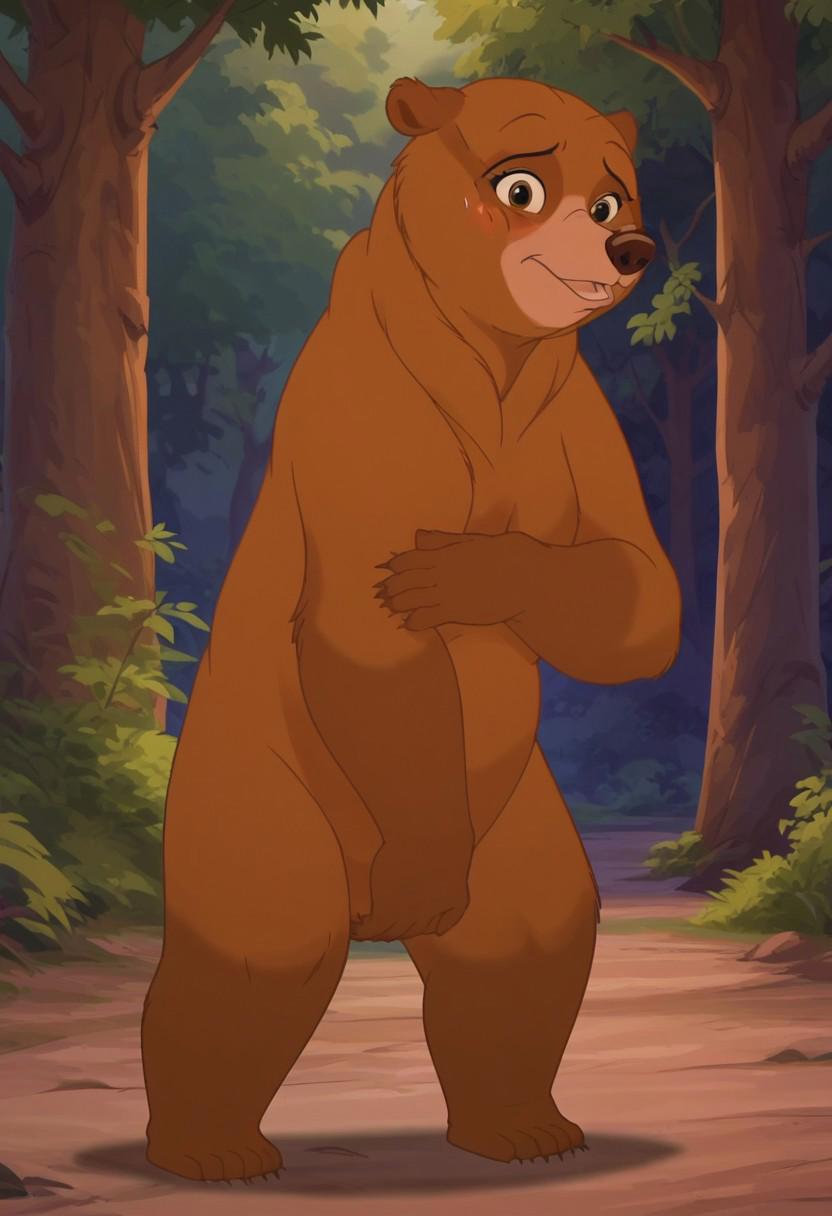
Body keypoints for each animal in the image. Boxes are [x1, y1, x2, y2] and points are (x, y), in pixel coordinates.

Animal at [141, 75, 681, 1183]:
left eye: (615, 193)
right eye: (520, 184)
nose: (629, 247)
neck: (493, 366)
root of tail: (361, 894)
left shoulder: (577, 422)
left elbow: (642, 594)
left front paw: (471, 570)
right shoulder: (363, 415)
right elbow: (369, 635)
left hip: (509, 826)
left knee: (528, 940)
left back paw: (522, 1127)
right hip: (265, 786)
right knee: (262, 944)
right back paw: (210, 1145)